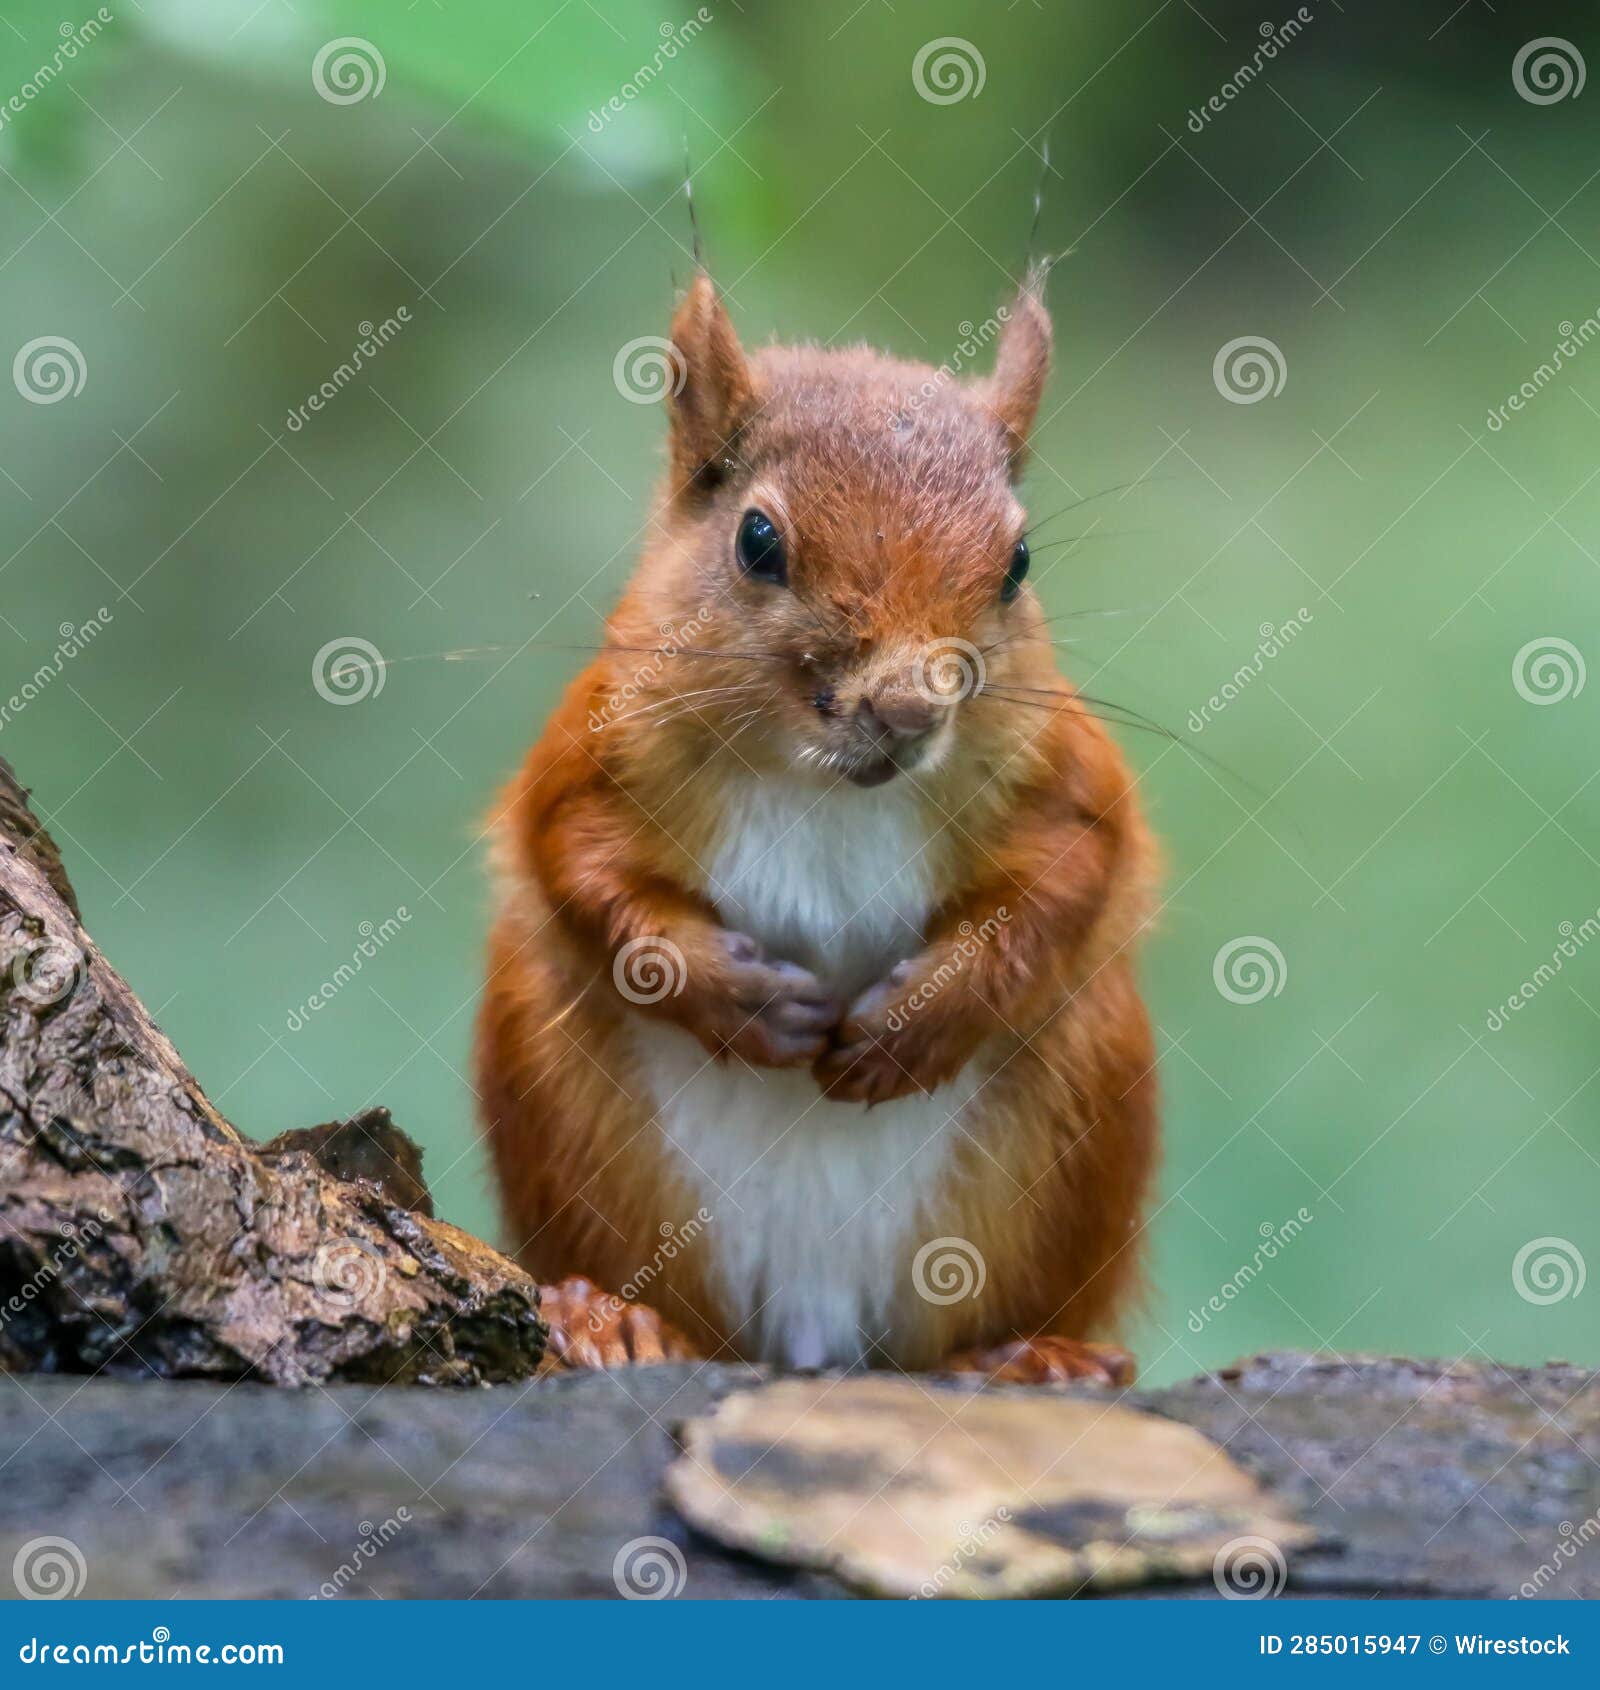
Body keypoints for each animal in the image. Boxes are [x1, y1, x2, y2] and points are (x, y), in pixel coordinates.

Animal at [474, 264, 1159, 1385]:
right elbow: (575, 861)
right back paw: (613, 1318)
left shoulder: (1066, 772)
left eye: (1018, 561)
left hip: (1078, 1097)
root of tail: (810, 1330)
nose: (909, 708)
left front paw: (912, 1026)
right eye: (757, 541)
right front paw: (742, 999)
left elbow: (1073, 873)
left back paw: (1028, 1353)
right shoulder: (591, 749)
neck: (830, 786)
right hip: (567, 1105)